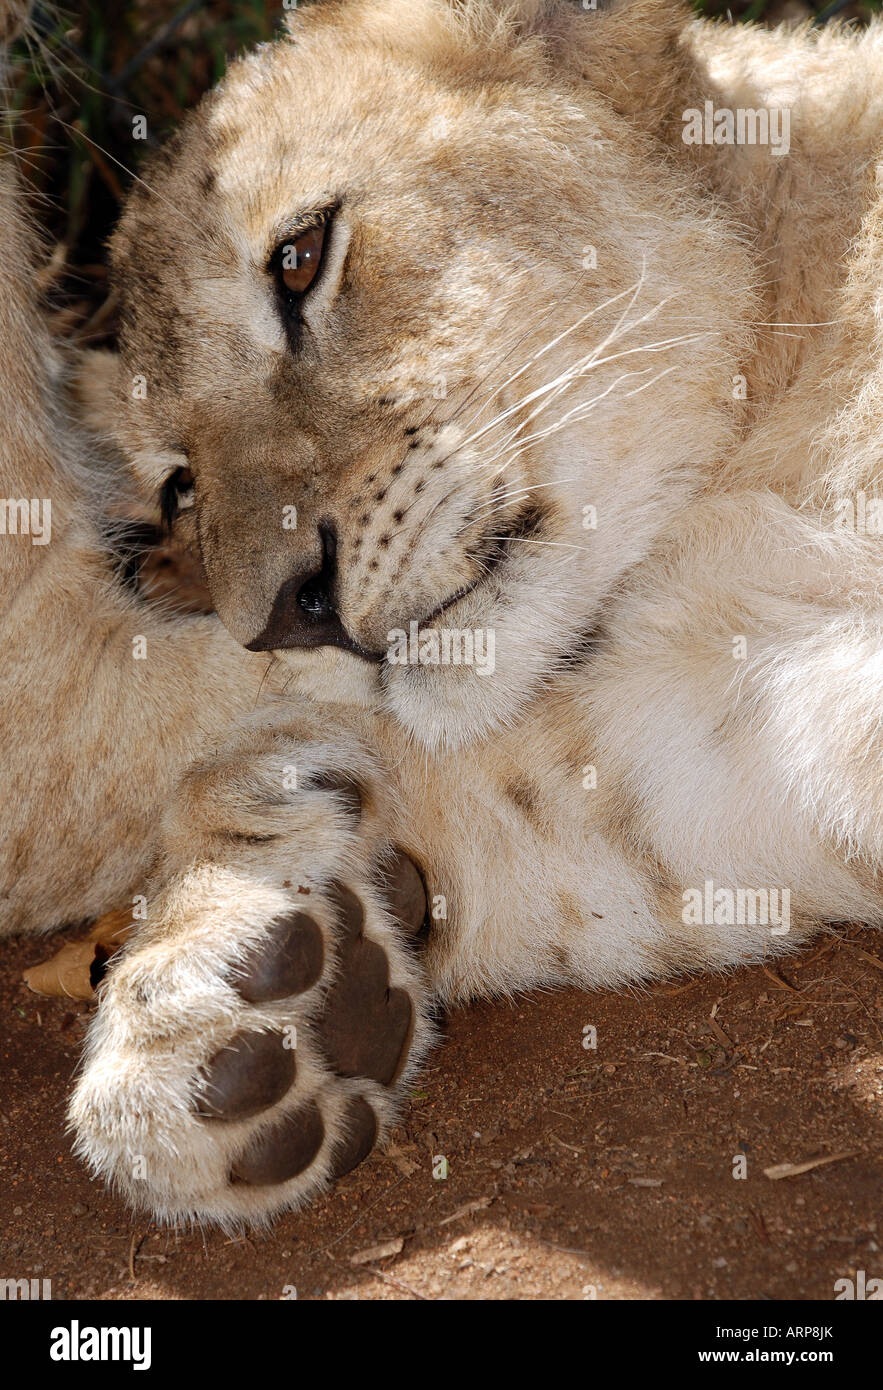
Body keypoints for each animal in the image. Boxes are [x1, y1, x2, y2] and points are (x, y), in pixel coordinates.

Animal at [4, 0, 883, 1226]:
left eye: (301, 256)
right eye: (178, 485)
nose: (285, 614)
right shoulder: (749, 711)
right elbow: (555, 800)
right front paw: (232, 991)